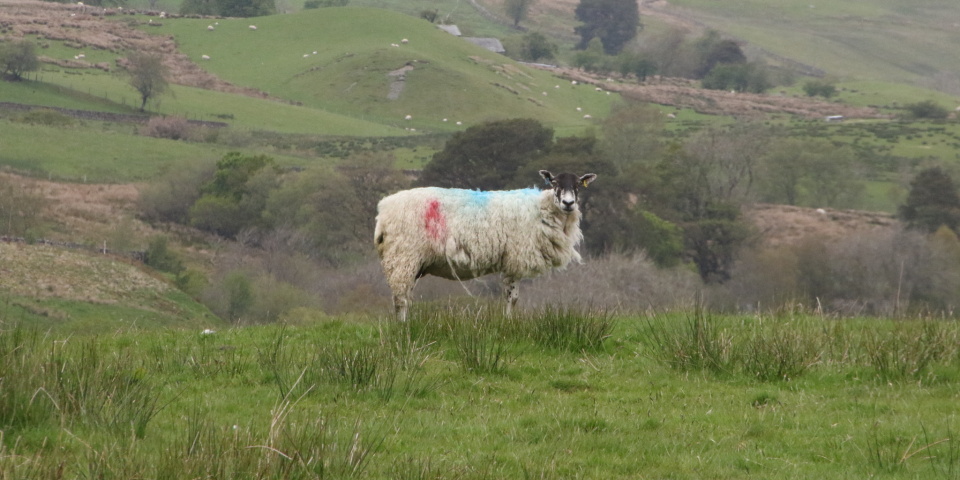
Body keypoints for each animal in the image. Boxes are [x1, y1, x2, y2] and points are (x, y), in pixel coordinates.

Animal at [374, 170, 597, 321]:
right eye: (555, 183)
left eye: (578, 185)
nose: (568, 203)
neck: (542, 209)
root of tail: (383, 211)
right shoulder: (515, 258)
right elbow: (512, 297)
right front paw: (508, 323)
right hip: (404, 255)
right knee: (400, 298)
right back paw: (403, 326)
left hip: (412, 262)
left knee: (404, 295)